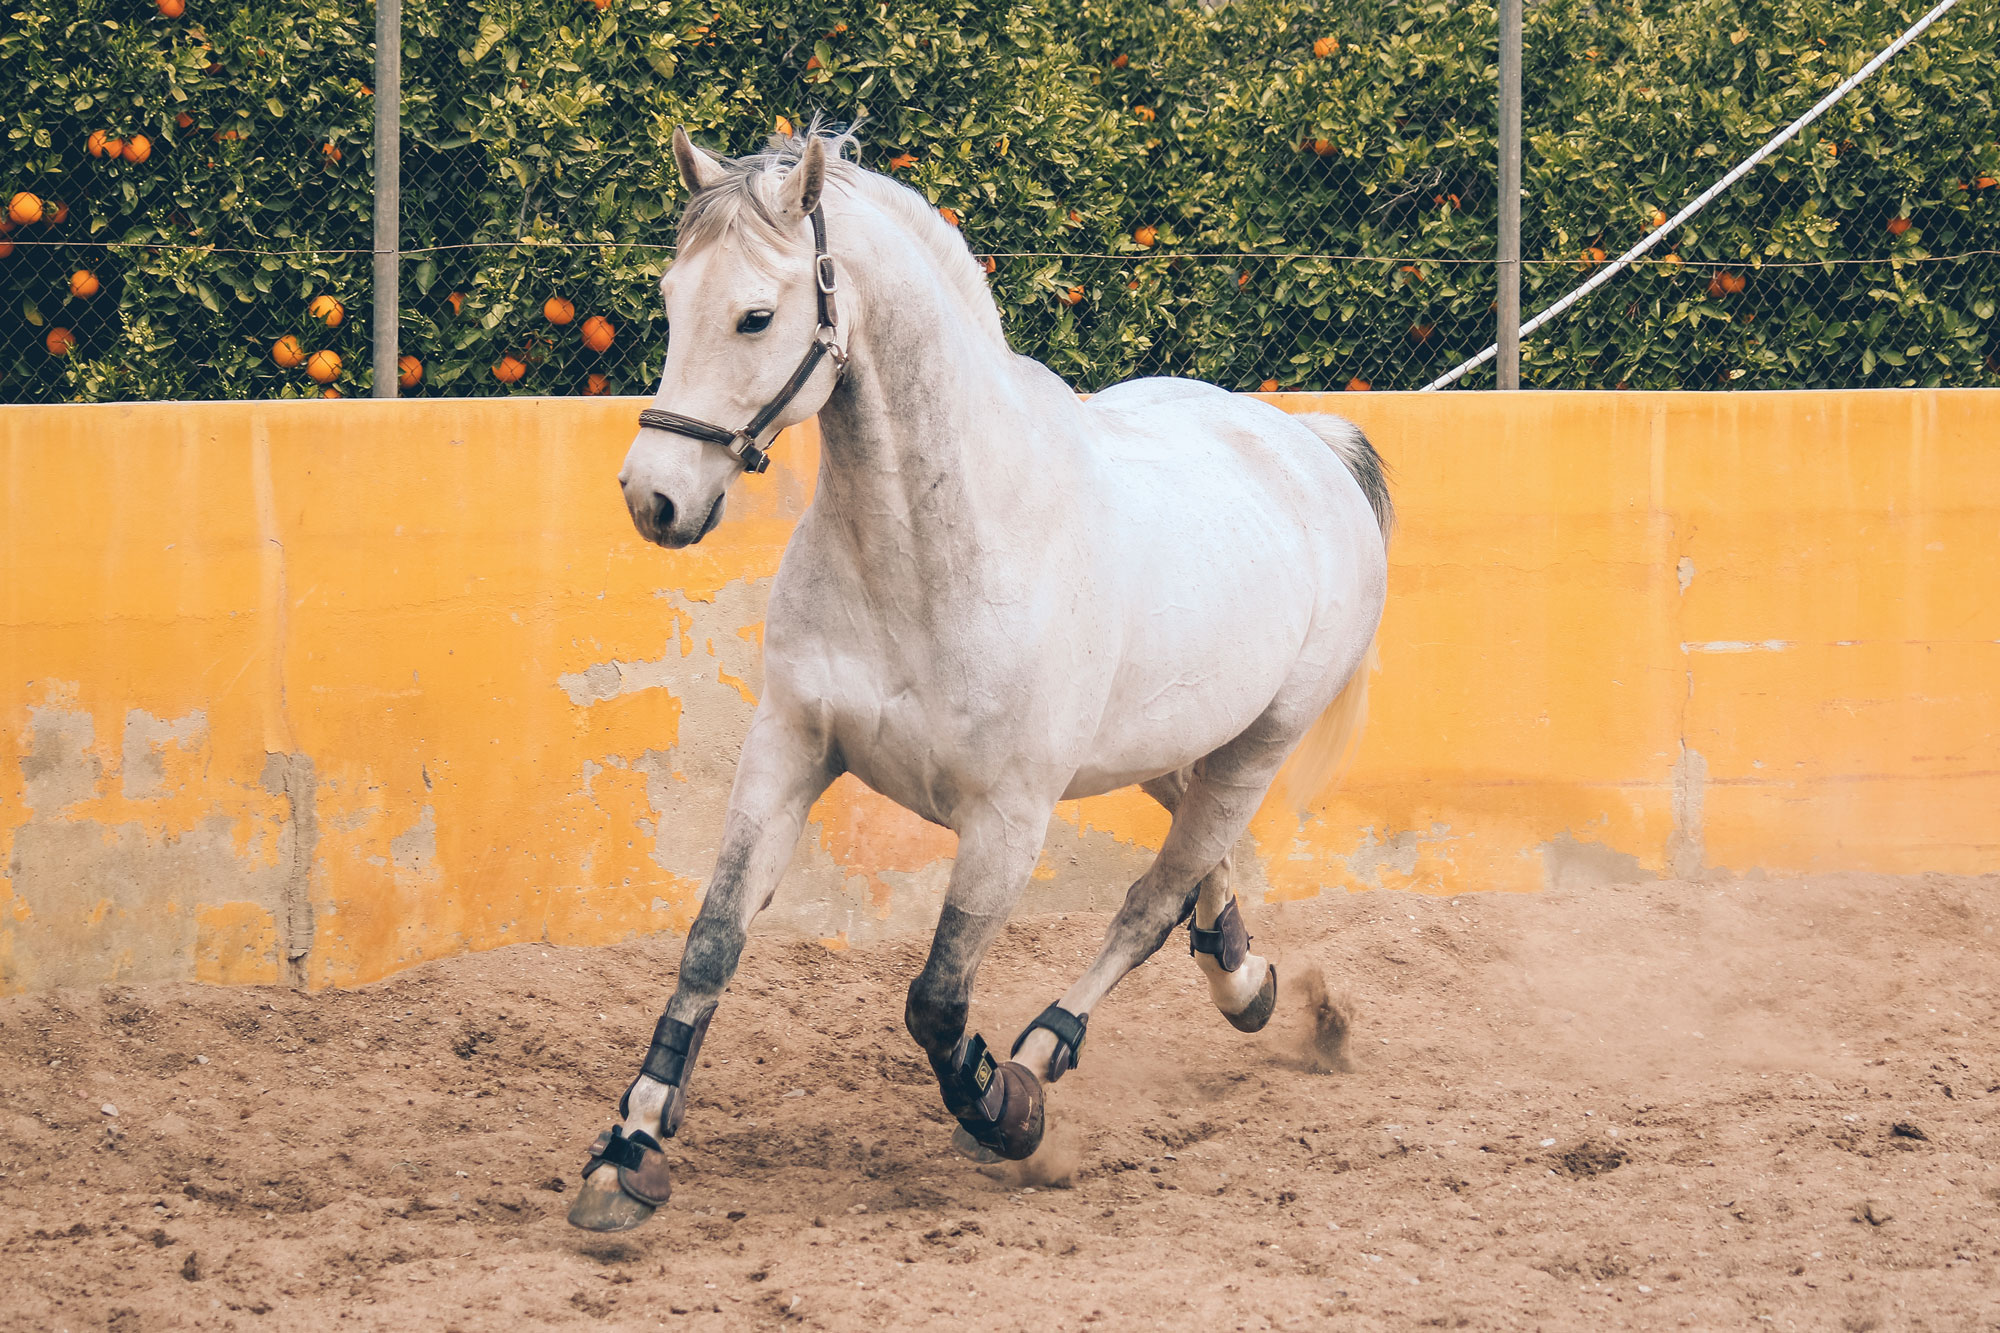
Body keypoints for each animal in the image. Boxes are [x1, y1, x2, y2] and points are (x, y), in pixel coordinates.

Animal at [568, 124, 1391, 1232]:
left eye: (754, 315)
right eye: (666, 299)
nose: (653, 498)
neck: (929, 551)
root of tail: (1310, 444)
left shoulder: (1007, 817)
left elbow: (937, 996)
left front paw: (1006, 1111)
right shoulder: (787, 749)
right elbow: (712, 938)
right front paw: (630, 1149)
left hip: (1258, 747)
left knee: (1153, 896)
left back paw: (1050, 1049)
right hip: (1167, 744)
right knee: (1194, 863)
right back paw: (1244, 980)